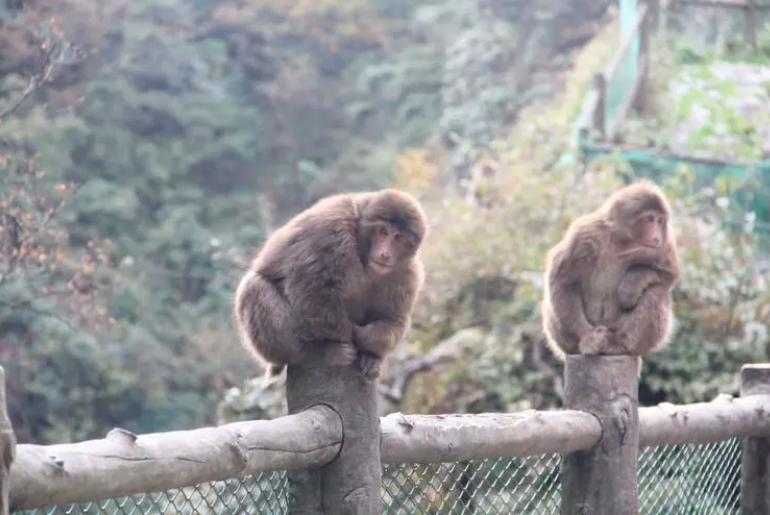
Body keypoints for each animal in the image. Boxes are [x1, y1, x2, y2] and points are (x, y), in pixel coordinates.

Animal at [234, 189, 426, 382]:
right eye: (383, 231)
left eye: (399, 237)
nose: (385, 254)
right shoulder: (332, 233)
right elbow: (312, 291)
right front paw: (351, 336)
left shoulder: (408, 275)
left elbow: (393, 319)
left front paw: (366, 343)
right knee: (254, 288)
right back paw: (315, 353)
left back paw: (371, 359)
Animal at [541, 181, 680, 359]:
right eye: (650, 219)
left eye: (660, 220)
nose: (656, 236)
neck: (621, 242)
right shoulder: (584, 234)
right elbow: (562, 279)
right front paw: (589, 337)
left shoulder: (665, 244)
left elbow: (669, 273)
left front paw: (632, 283)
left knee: (657, 291)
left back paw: (620, 344)